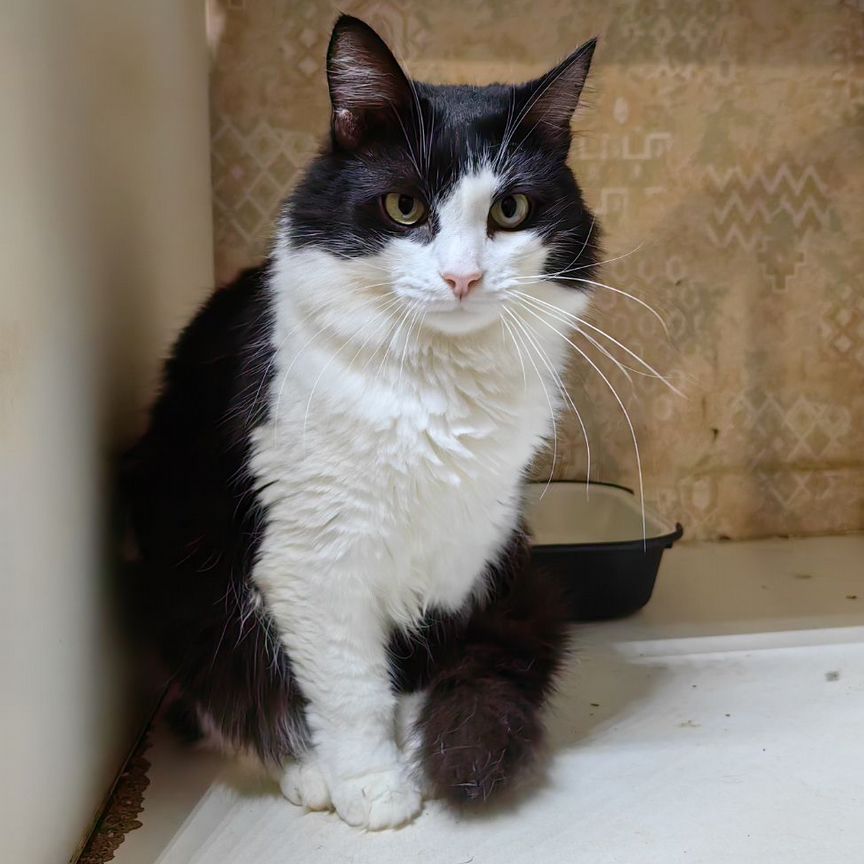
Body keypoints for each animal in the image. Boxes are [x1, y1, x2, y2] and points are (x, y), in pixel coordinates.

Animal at [124, 15, 599, 830]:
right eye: (405, 207)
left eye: (509, 212)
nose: (463, 277)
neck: (438, 384)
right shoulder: (312, 560)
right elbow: (350, 690)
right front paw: (373, 784)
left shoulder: (465, 546)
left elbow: (421, 666)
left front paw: (415, 750)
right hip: (186, 576)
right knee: (226, 696)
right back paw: (305, 770)